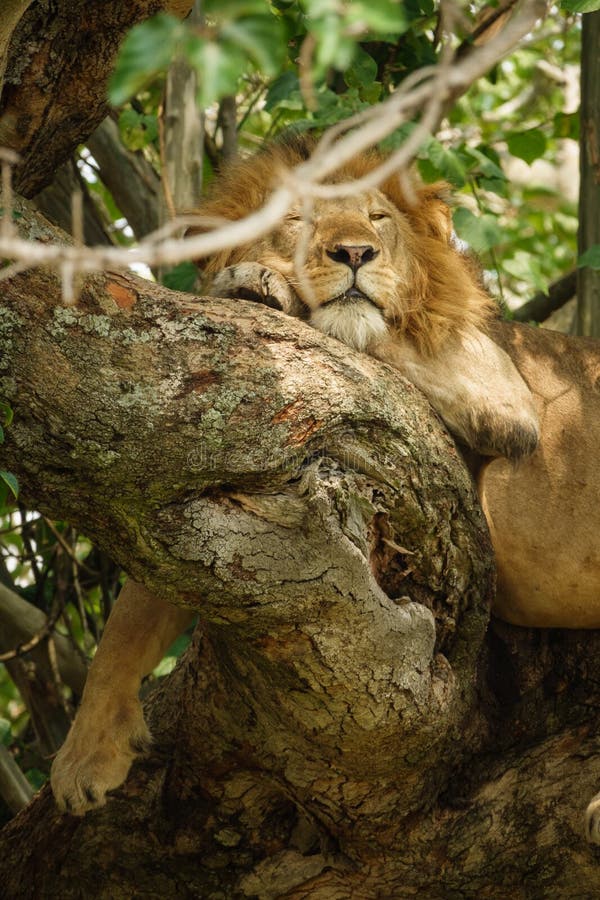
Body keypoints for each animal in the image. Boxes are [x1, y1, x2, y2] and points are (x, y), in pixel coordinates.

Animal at [50, 137, 600, 836]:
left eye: (377, 220)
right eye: (298, 219)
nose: (355, 254)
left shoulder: (504, 396)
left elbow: (378, 328)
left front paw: (267, 284)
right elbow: (130, 615)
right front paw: (84, 757)